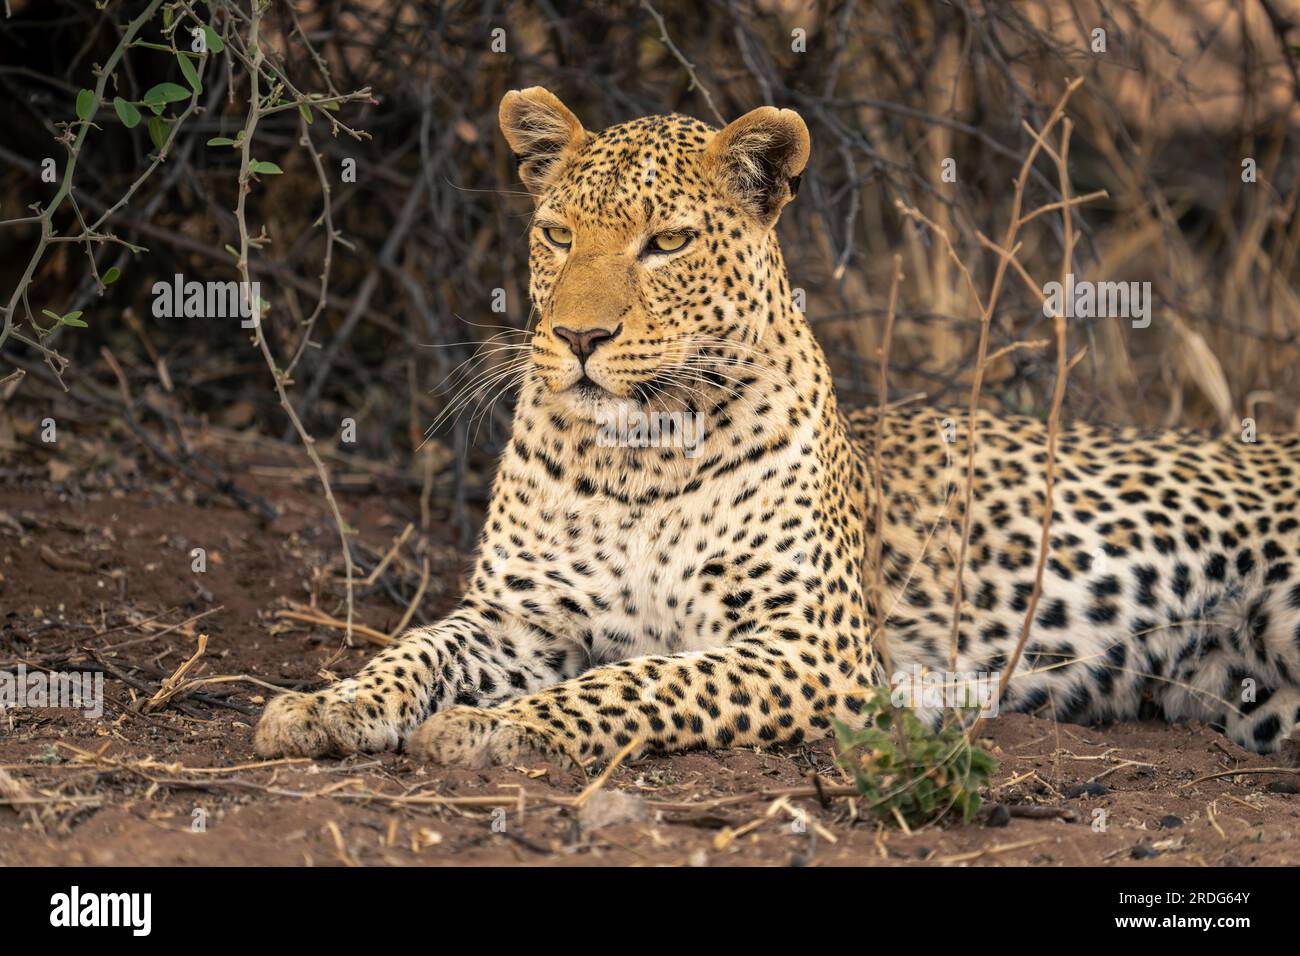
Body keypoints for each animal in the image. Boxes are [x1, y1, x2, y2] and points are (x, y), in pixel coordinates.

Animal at [255, 87, 1300, 768]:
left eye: (667, 243)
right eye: (557, 235)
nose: (580, 338)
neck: (639, 458)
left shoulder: (811, 647)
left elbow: (643, 682)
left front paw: (505, 727)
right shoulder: (518, 617)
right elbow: (415, 648)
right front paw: (325, 705)